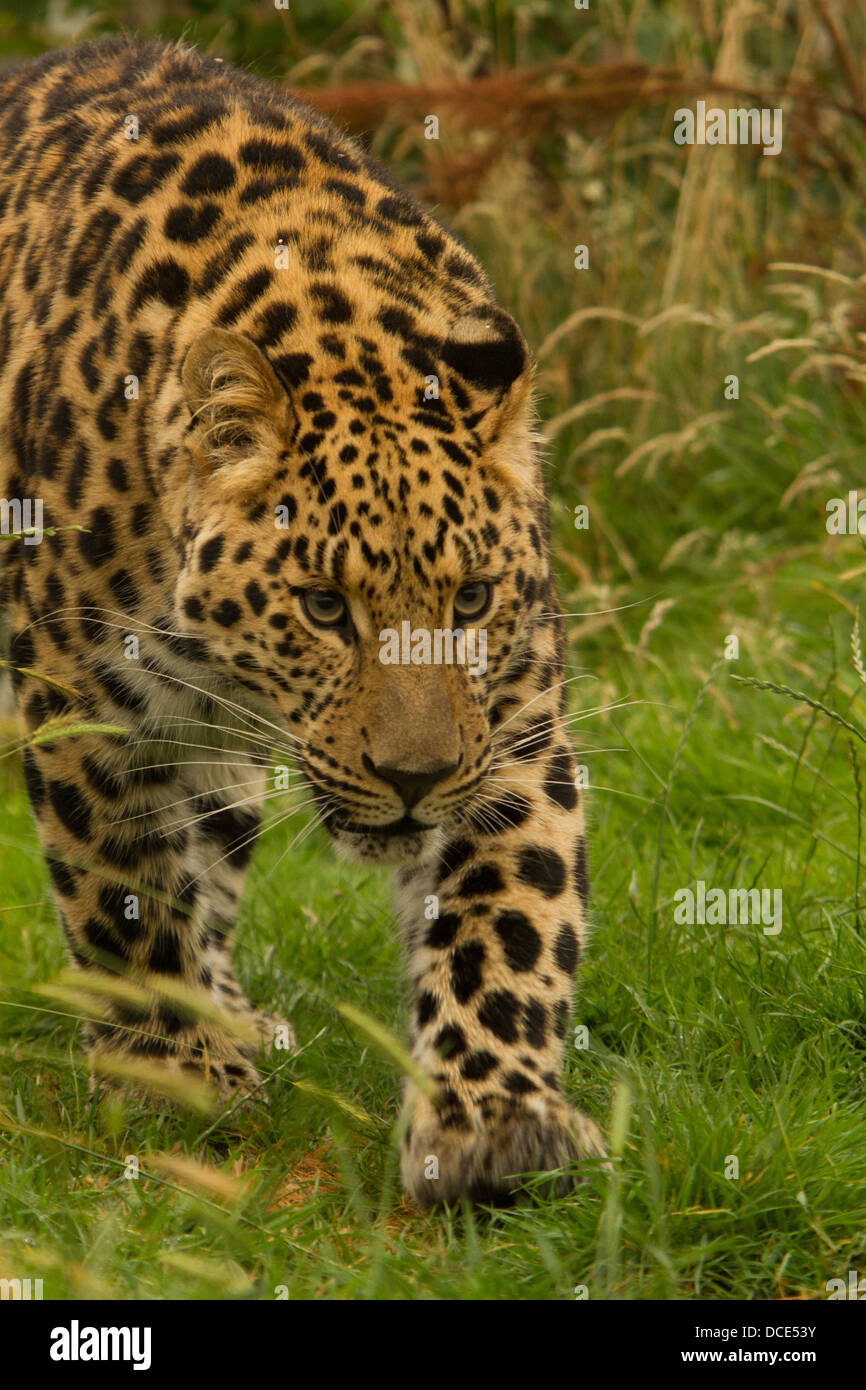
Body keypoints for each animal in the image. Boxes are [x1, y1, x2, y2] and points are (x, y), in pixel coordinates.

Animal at [0, 35, 603, 1206]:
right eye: (324, 607)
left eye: (469, 599)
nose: (414, 778)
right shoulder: (81, 699)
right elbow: (123, 890)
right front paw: (171, 1077)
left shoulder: (510, 729)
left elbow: (505, 917)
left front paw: (493, 1120)